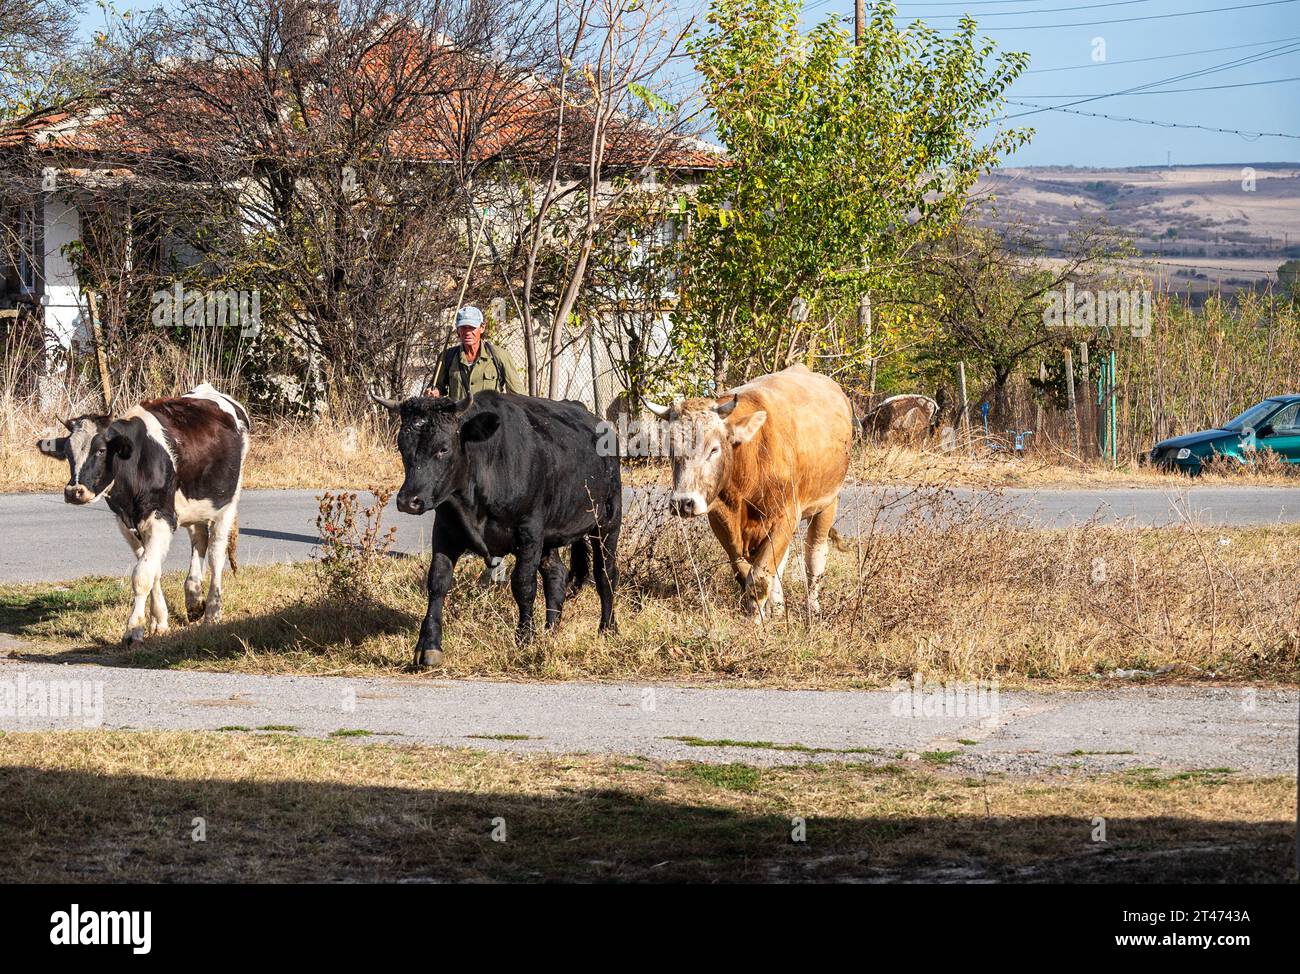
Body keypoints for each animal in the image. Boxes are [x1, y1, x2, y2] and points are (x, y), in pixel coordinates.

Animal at [36, 383, 250, 645]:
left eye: (101, 450)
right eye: (67, 452)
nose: (74, 491)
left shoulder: (162, 518)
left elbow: (142, 575)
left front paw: (133, 630)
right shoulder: (125, 522)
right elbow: (153, 568)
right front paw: (159, 622)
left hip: (227, 503)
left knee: (216, 554)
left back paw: (212, 612)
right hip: (196, 502)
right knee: (199, 540)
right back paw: (193, 600)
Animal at [373, 389, 621, 668]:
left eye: (443, 448)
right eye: (402, 447)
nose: (408, 501)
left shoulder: (529, 532)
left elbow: (523, 584)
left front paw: (525, 638)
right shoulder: (445, 532)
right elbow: (438, 581)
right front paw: (429, 646)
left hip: (607, 522)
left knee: (606, 574)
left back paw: (607, 629)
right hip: (550, 537)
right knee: (556, 574)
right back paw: (551, 632)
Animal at [648, 364, 853, 620]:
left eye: (714, 449)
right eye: (672, 449)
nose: (684, 502)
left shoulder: (786, 516)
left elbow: (760, 576)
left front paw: (756, 620)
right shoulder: (721, 519)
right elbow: (745, 571)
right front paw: (762, 612)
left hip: (827, 502)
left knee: (814, 556)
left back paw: (812, 608)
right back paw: (778, 607)